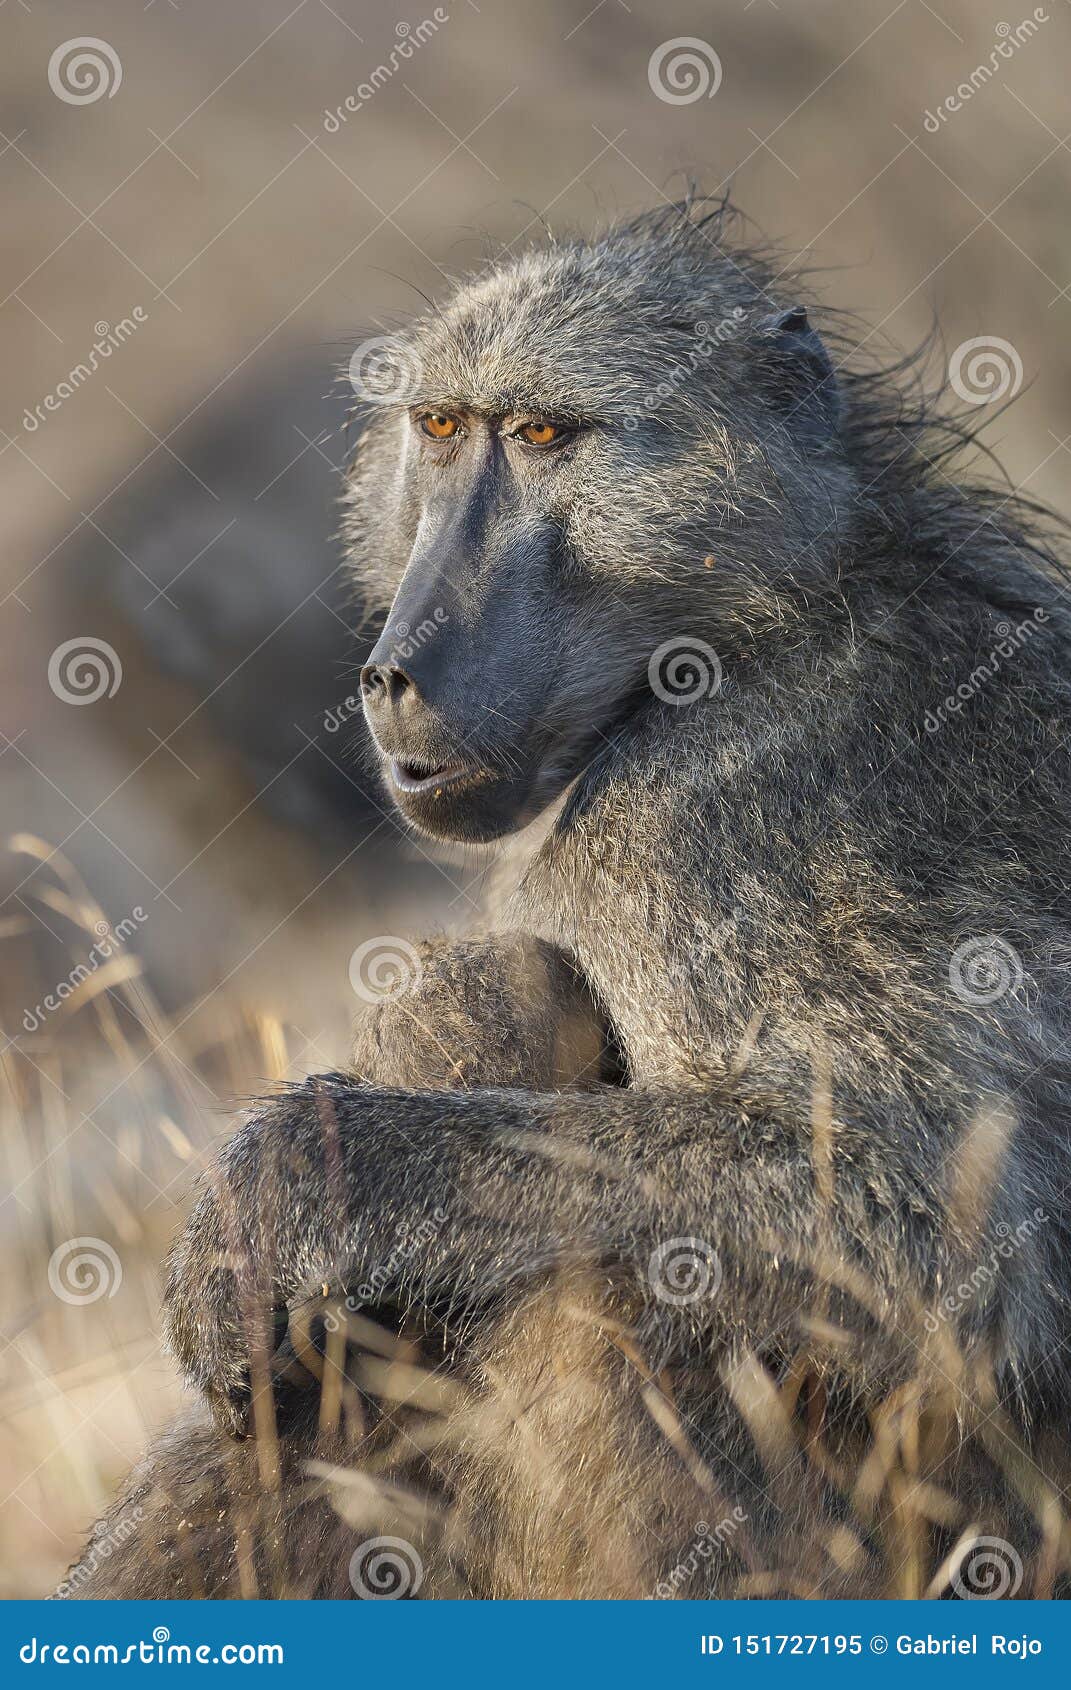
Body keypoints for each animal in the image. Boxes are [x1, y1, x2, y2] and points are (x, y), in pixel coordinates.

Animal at [62, 199, 1071, 1600]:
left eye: (544, 436)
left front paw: (280, 1191)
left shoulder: (707, 825)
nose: (396, 672)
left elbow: (928, 1231)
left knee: (605, 1278)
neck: (769, 615)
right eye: (442, 428)